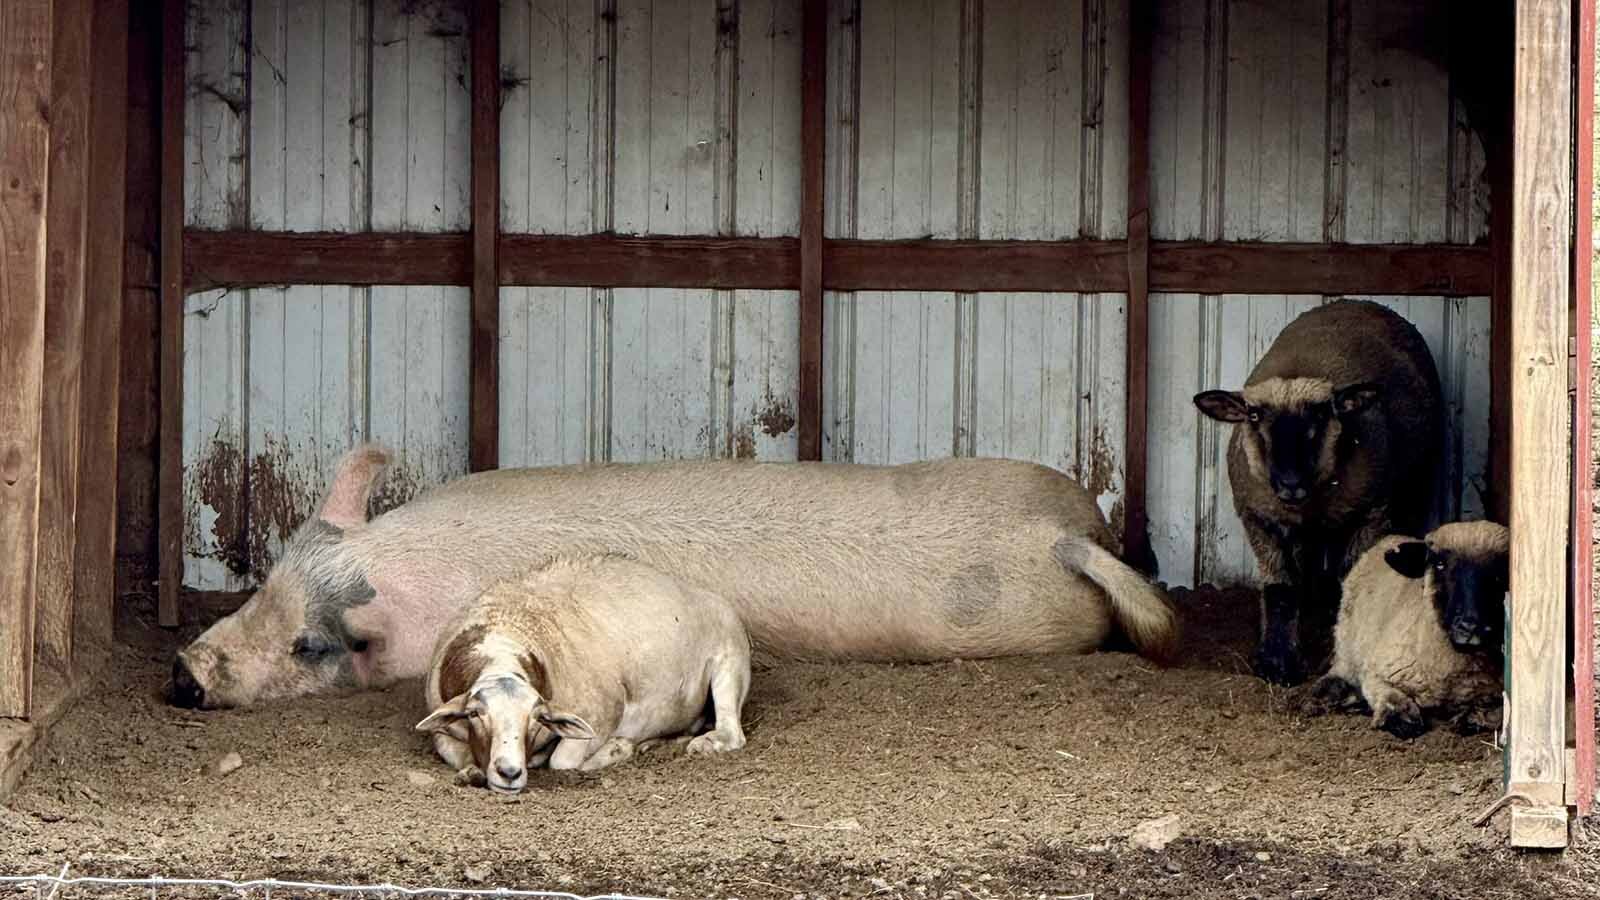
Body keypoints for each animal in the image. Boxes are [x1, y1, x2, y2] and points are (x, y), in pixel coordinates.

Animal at [415, 554, 751, 792]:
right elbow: (459, 756)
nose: (509, 772)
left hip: (729, 660)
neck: (502, 639)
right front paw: (472, 771)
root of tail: (698, 591)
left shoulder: (603, 714)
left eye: (536, 718)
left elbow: (563, 762)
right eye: (474, 714)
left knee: (732, 731)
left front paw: (617, 749)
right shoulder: (441, 731)